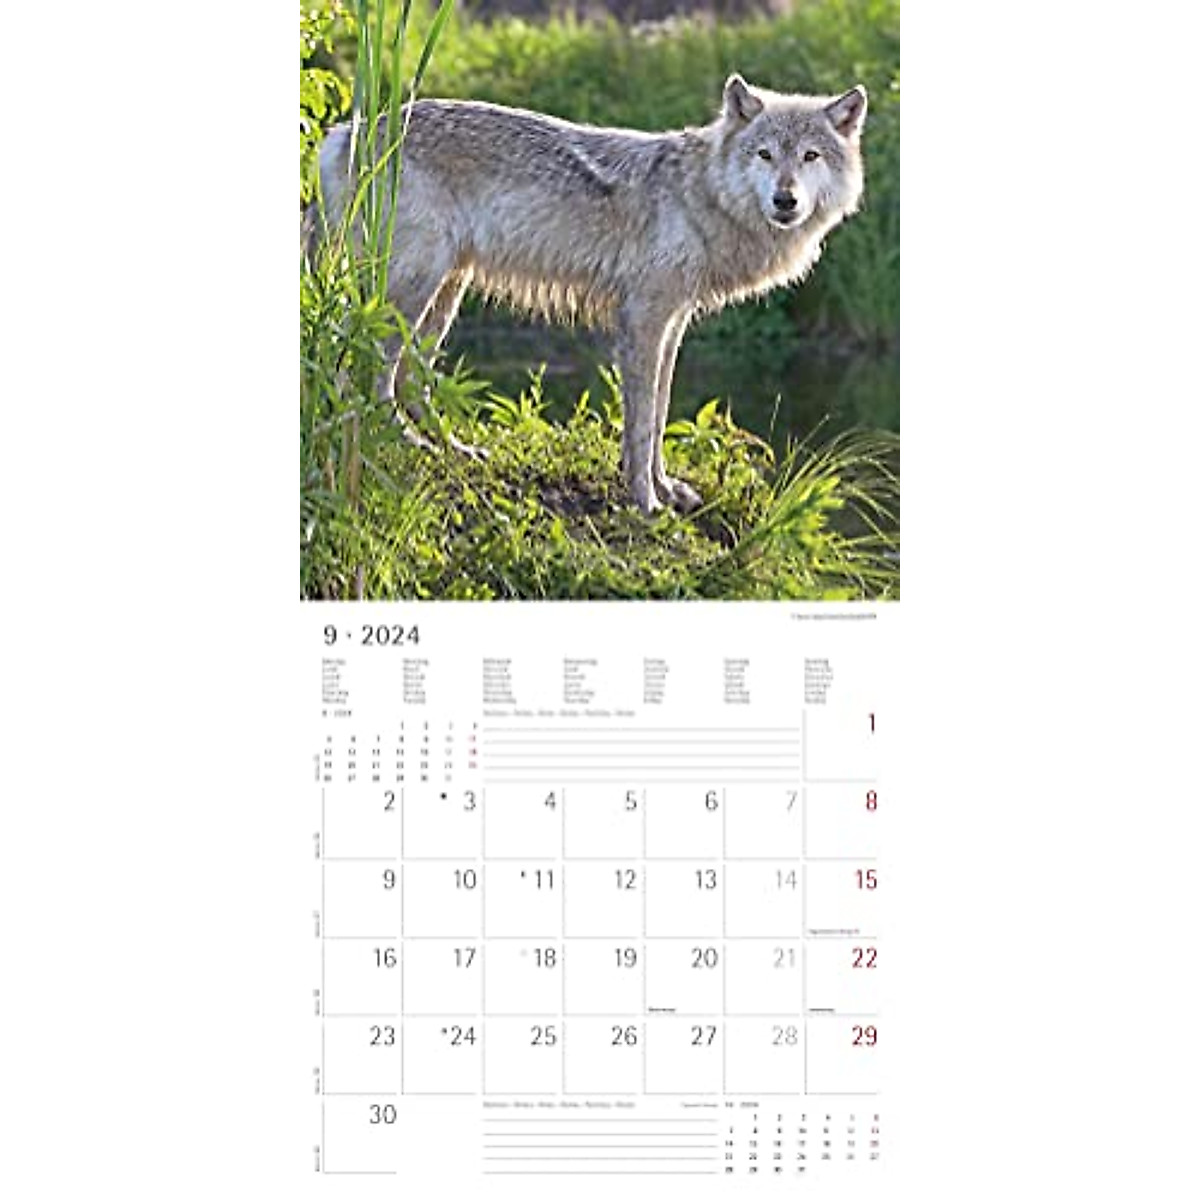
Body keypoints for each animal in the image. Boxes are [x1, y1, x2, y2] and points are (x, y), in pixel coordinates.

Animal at [312, 74, 867, 514]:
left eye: (810, 156)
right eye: (765, 154)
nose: (785, 200)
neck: (701, 196)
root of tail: (342, 133)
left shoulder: (672, 324)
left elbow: (658, 415)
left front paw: (666, 490)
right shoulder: (643, 321)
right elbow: (641, 423)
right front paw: (646, 502)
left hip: (445, 291)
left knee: (413, 381)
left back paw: (452, 450)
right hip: (412, 289)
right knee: (369, 372)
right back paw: (401, 441)